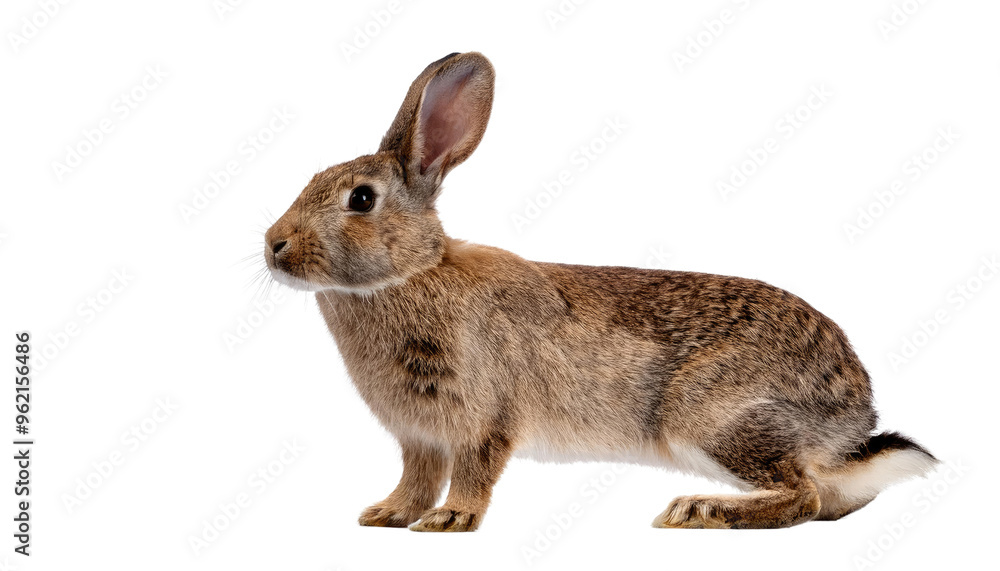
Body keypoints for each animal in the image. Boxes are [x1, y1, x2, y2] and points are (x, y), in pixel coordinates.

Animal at [263, 52, 938, 531]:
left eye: (361, 199)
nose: (274, 244)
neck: (411, 272)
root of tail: (854, 419)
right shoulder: (419, 437)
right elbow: (417, 476)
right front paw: (388, 514)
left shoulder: (484, 415)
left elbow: (475, 471)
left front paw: (451, 520)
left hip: (711, 417)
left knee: (806, 496)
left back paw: (700, 510)